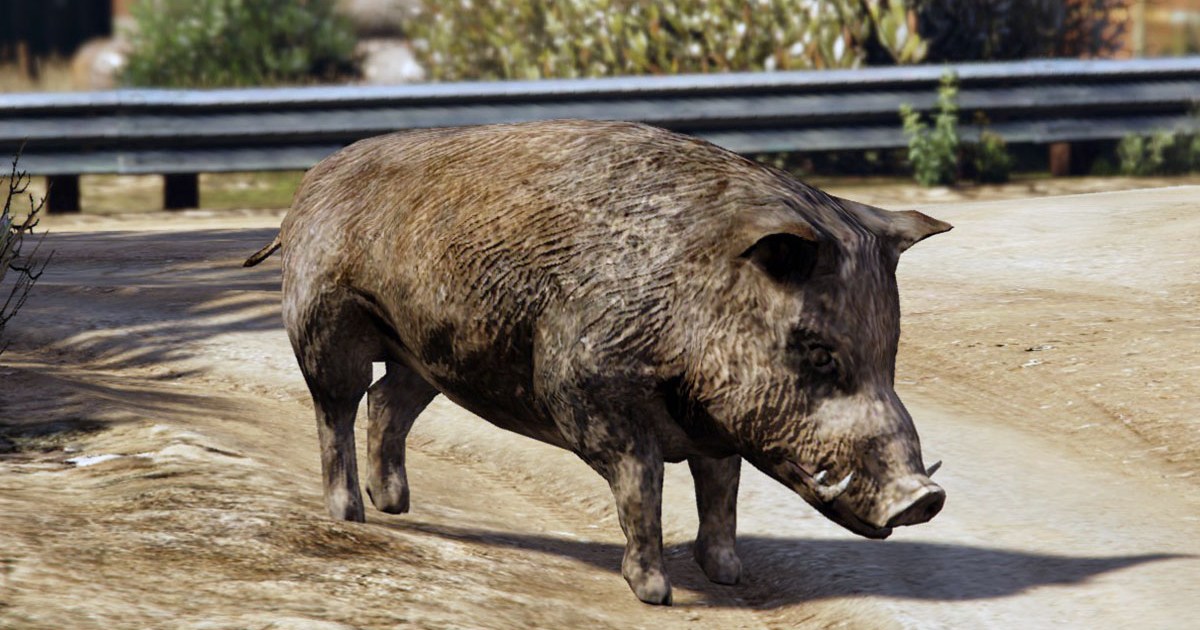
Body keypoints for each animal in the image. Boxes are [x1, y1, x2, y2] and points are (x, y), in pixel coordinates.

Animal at [244, 119, 951, 605]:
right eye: (818, 351)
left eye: (890, 350)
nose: (924, 498)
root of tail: (308, 184)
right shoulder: (584, 385)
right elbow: (642, 484)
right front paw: (657, 595)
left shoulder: (717, 428)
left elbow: (721, 491)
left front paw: (729, 576)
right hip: (323, 322)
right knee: (335, 406)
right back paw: (352, 515)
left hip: (424, 354)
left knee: (389, 401)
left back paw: (395, 505)